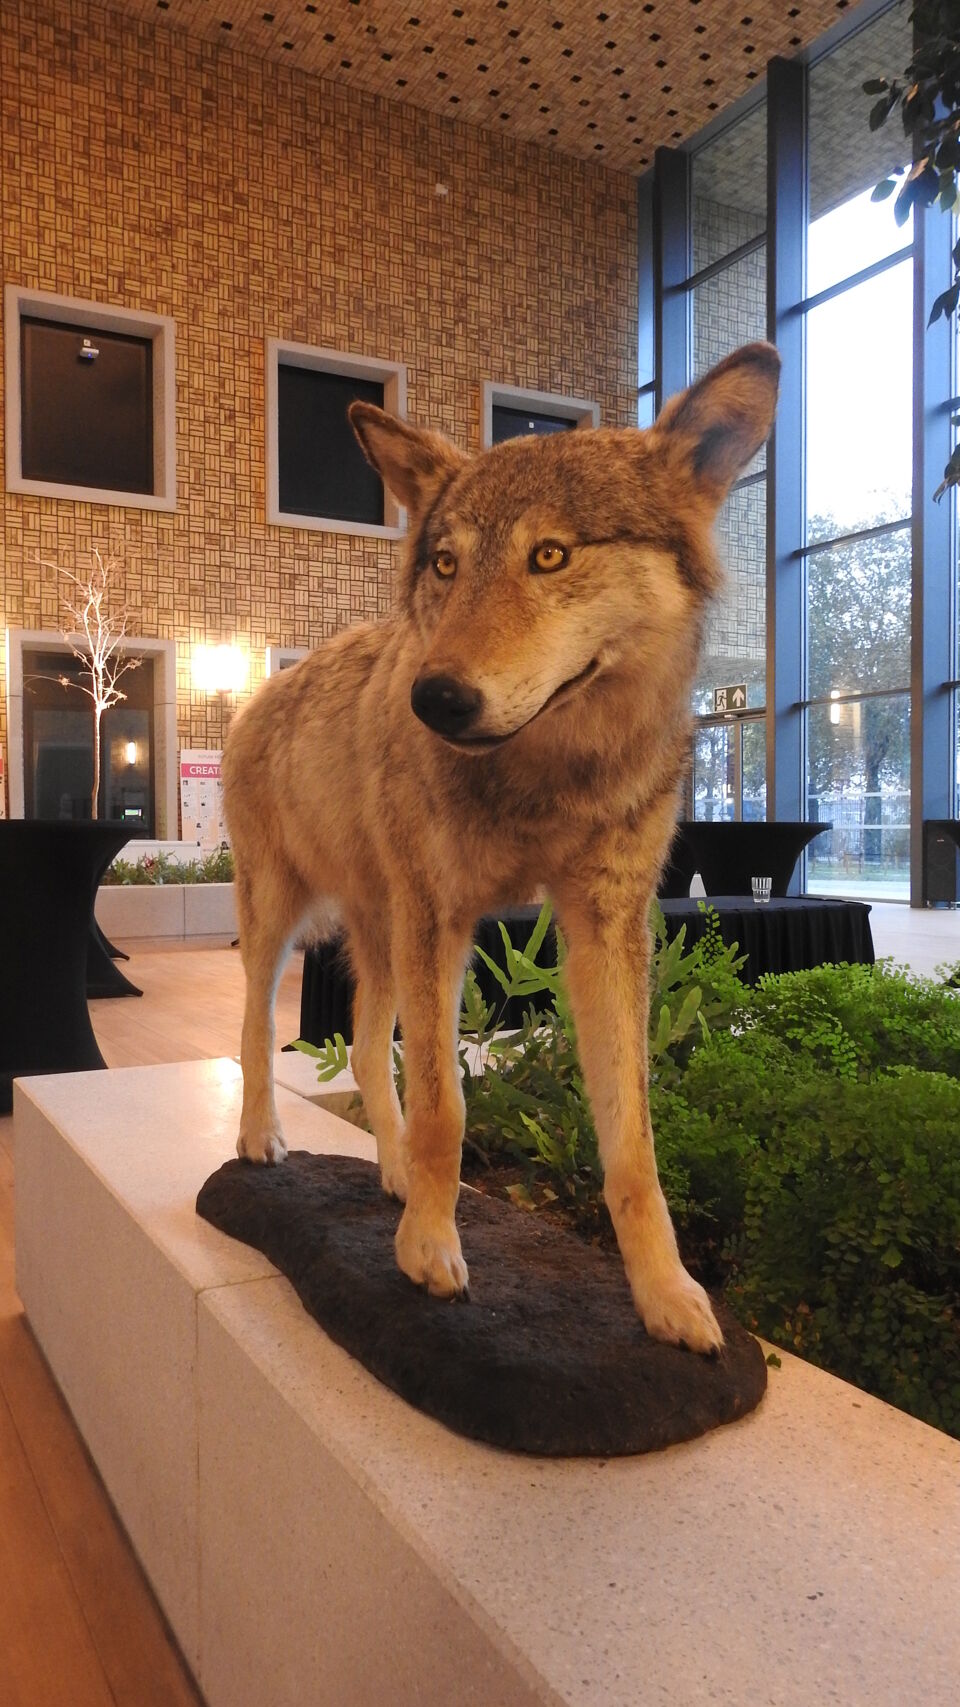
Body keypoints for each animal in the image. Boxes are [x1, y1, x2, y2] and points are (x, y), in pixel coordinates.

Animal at [222, 342, 780, 1355]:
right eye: (446, 564)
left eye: (549, 554)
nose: (433, 698)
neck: (544, 777)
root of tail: (260, 697)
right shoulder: (442, 920)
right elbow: (447, 1105)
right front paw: (430, 1250)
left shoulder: (606, 929)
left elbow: (632, 1142)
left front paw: (669, 1294)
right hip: (286, 921)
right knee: (253, 1034)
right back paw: (262, 1138)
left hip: (383, 934)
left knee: (368, 1054)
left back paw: (393, 1174)